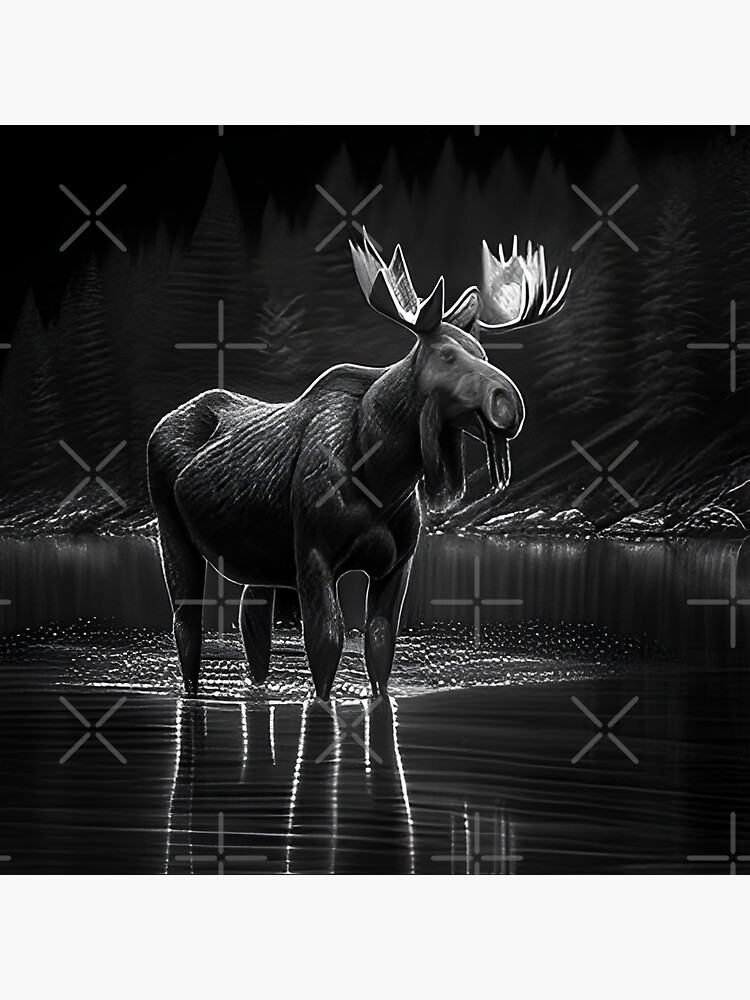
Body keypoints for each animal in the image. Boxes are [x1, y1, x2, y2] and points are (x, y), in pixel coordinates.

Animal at [147, 232, 571, 699]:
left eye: (483, 352)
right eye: (446, 355)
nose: (508, 402)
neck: (384, 475)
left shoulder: (398, 564)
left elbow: (379, 647)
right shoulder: (314, 555)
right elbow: (327, 644)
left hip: (261, 560)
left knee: (251, 627)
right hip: (173, 534)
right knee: (187, 628)